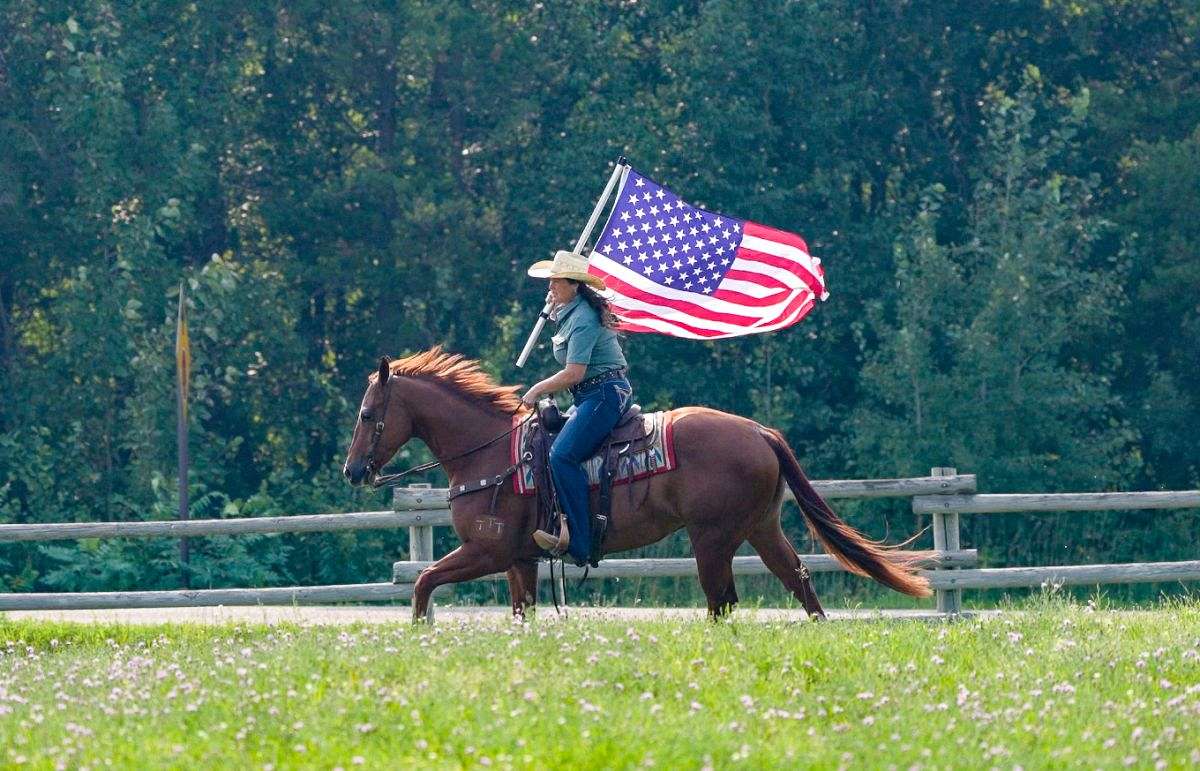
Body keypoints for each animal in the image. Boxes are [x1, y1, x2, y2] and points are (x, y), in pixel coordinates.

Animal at [342, 347, 931, 621]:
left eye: (369, 415)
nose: (353, 471)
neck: (489, 452)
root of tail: (758, 431)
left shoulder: (487, 551)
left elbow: (422, 583)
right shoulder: (521, 560)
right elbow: (521, 611)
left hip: (711, 538)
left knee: (722, 600)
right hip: (762, 528)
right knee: (797, 581)